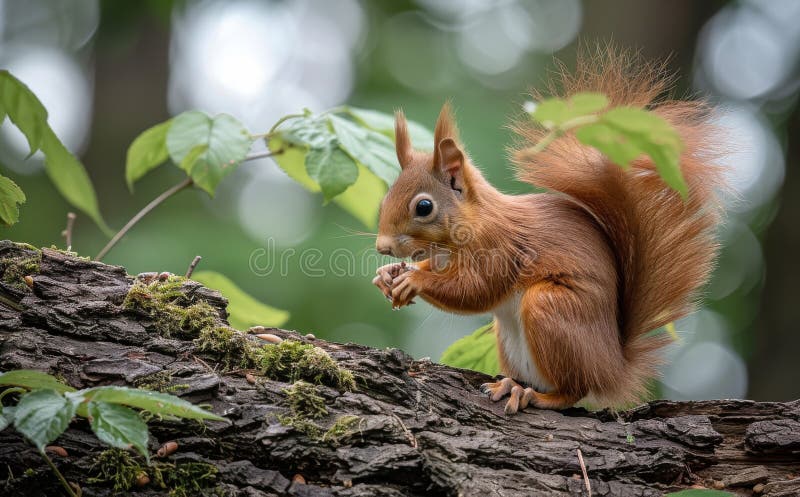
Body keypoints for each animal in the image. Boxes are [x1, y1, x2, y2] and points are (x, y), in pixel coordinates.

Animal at [371, 48, 724, 413]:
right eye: (387, 196)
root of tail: (612, 367)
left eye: (424, 207)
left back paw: (534, 395)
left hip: (551, 309)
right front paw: (387, 275)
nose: (382, 246)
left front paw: (414, 279)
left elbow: (475, 289)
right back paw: (511, 385)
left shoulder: (500, 247)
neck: (470, 223)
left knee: (574, 389)